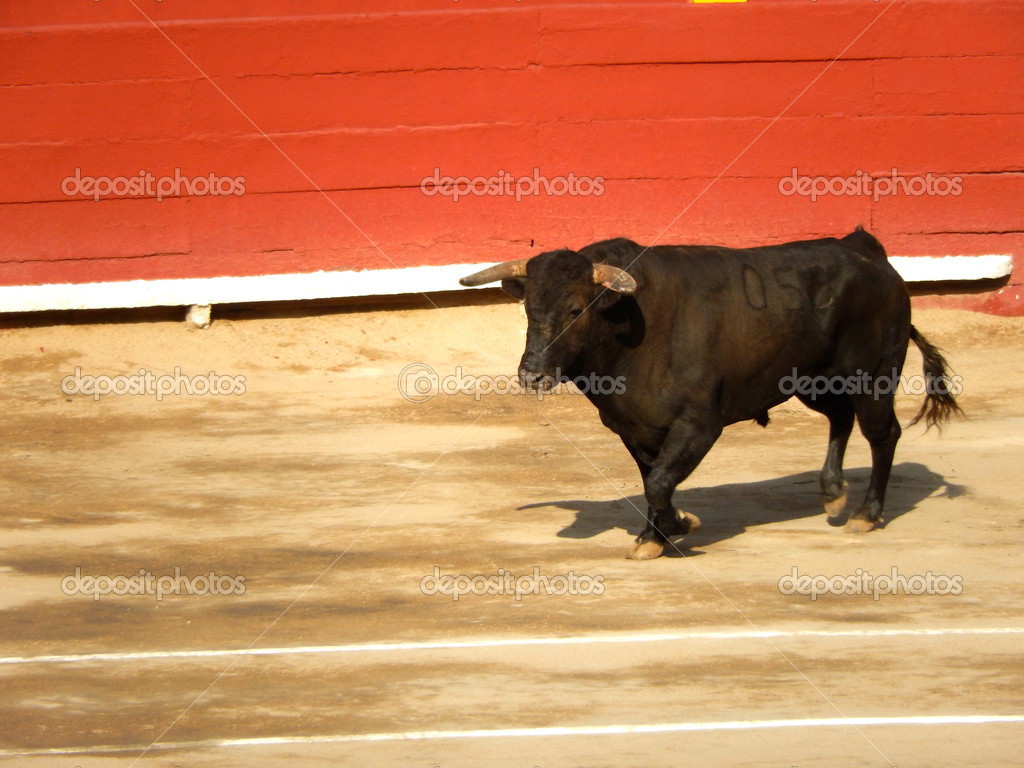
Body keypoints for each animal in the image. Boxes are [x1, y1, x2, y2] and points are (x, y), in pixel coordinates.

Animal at [459, 227, 962, 560]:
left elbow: (660, 481)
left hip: (873, 375)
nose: (533, 375)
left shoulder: (699, 423)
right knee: (840, 418)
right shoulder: (633, 427)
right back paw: (833, 492)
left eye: (576, 309)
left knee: (882, 433)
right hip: (813, 380)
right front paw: (659, 535)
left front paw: (676, 527)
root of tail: (866, 250)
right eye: (529, 307)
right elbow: (653, 480)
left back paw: (866, 513)